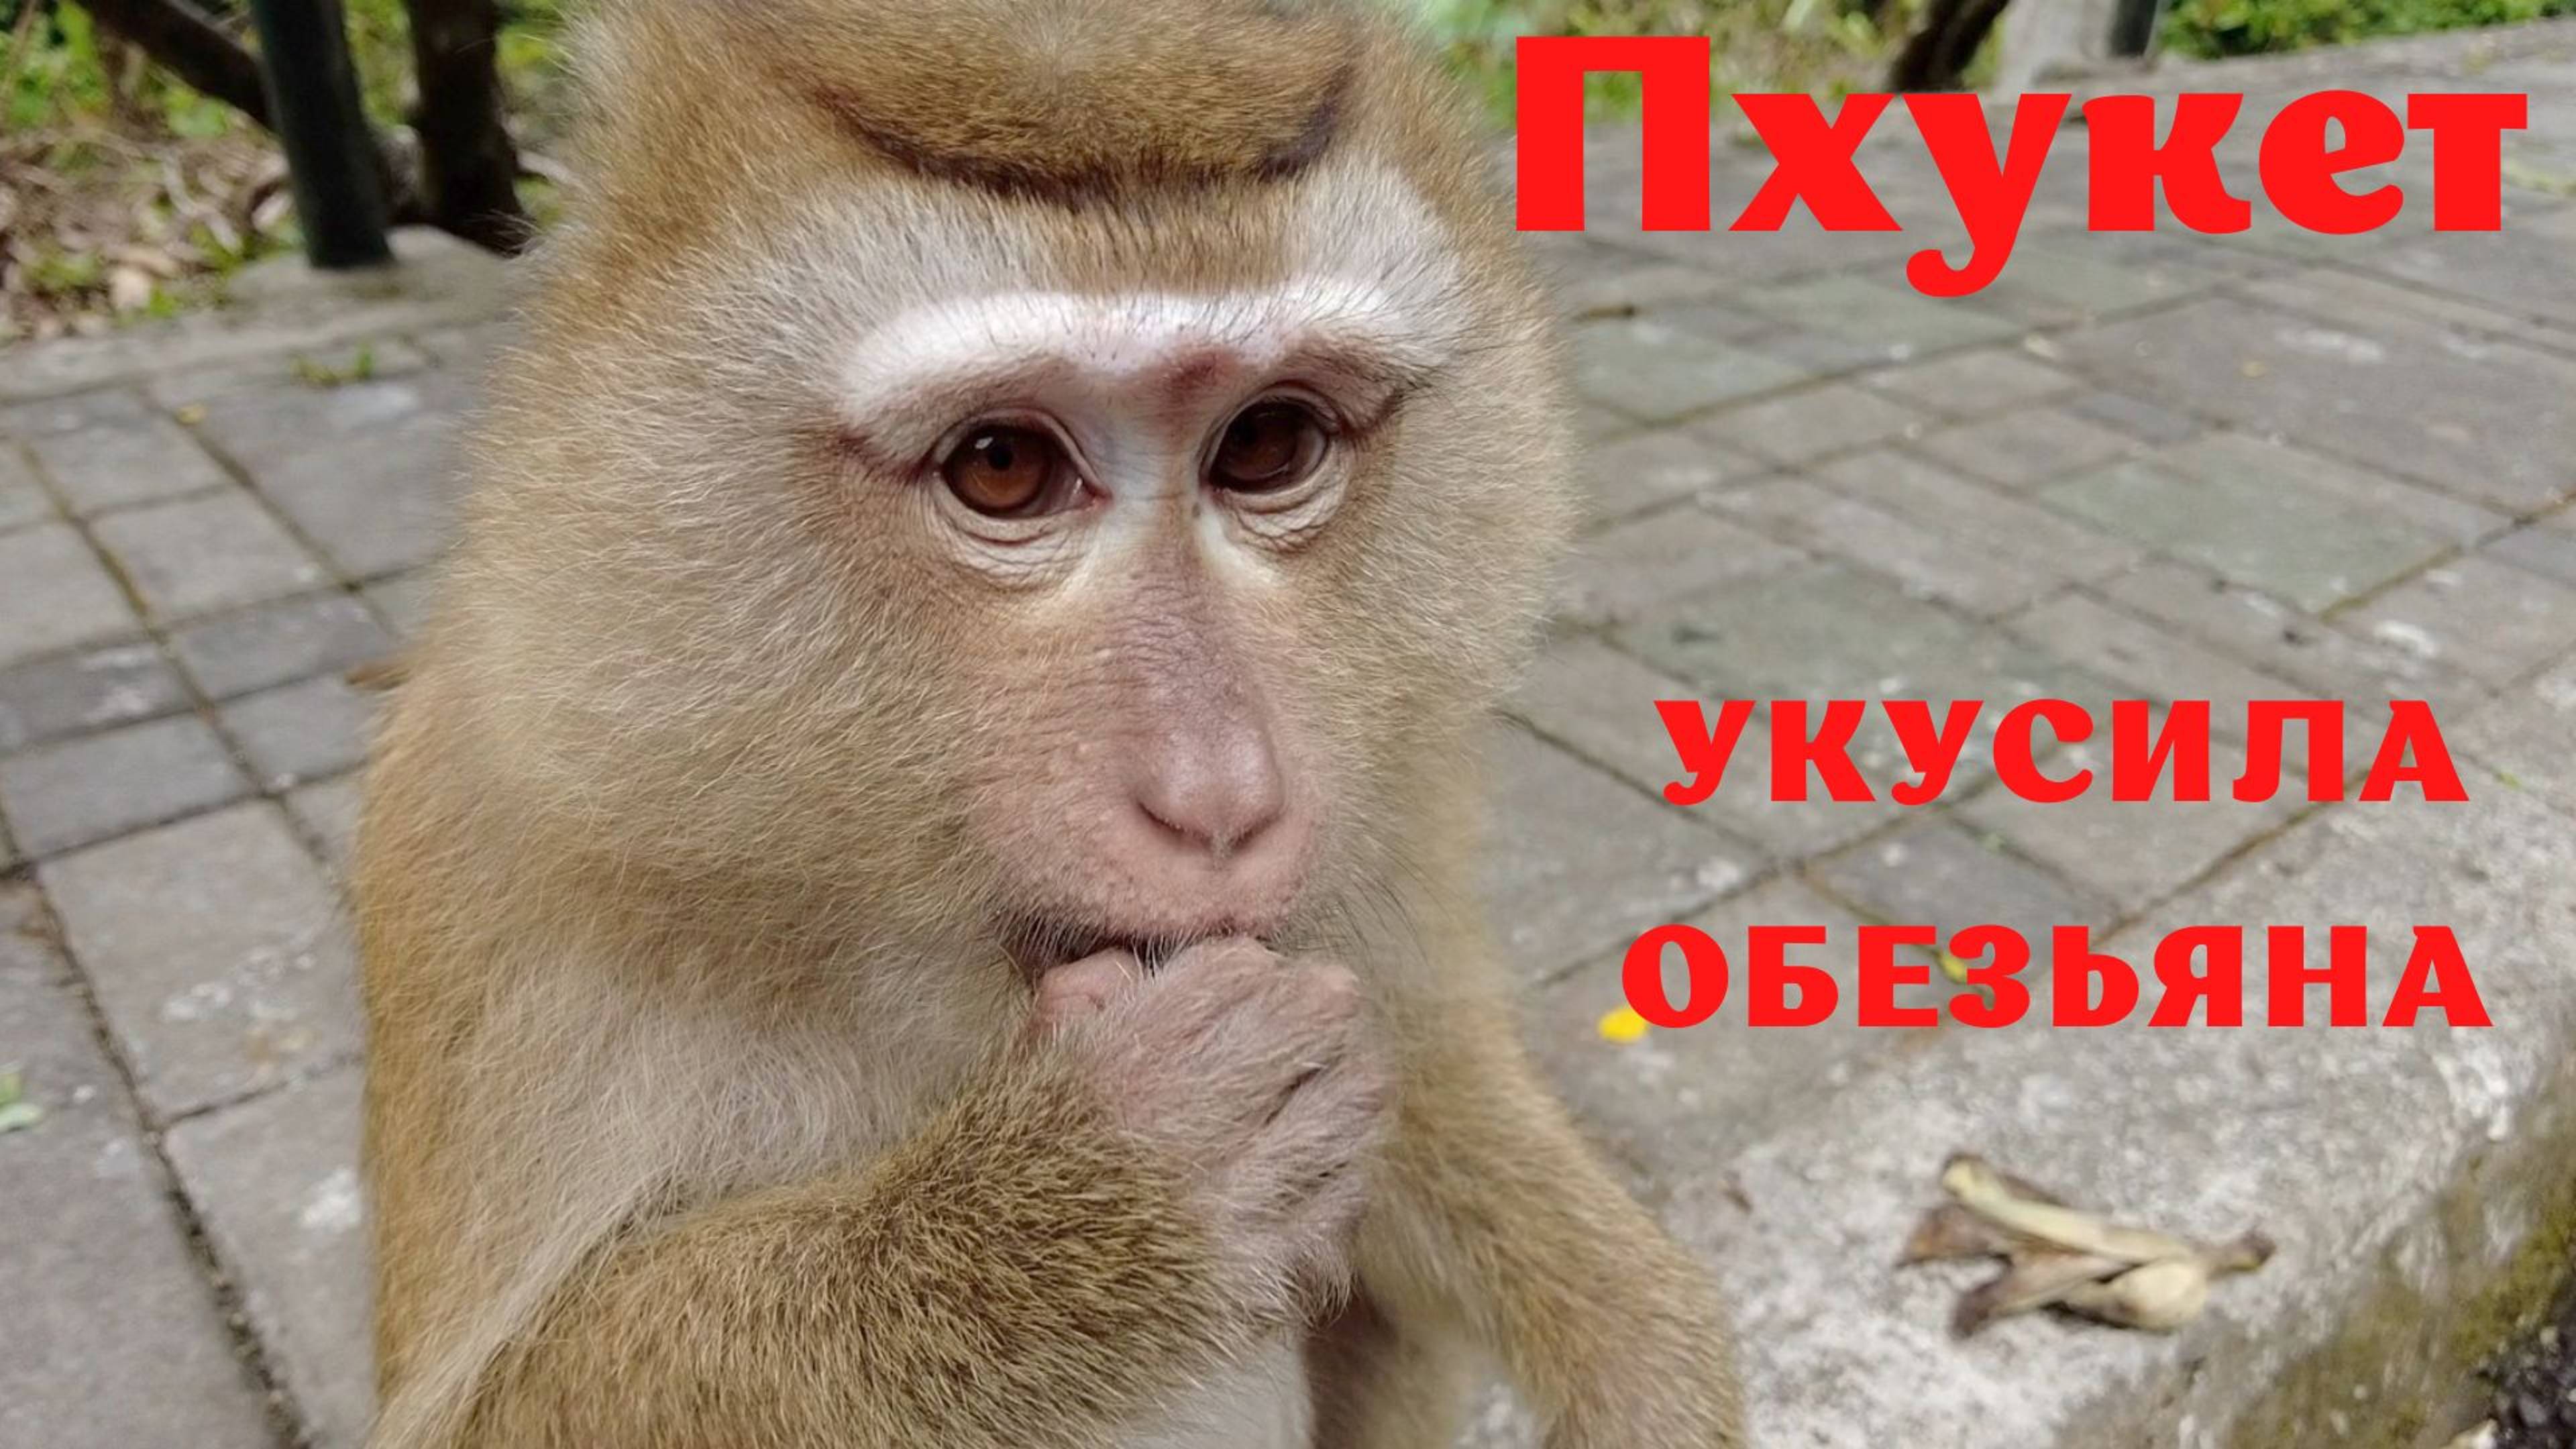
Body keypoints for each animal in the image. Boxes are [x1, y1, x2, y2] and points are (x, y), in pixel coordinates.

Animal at [356, 1, 1748, 1446]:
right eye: (1003, 467)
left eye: (1270, 443)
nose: (1222, 799)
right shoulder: (481, 847)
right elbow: (492, 1404)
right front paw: (1119, 1185)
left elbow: (1417, 1075)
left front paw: (1645, 1351)